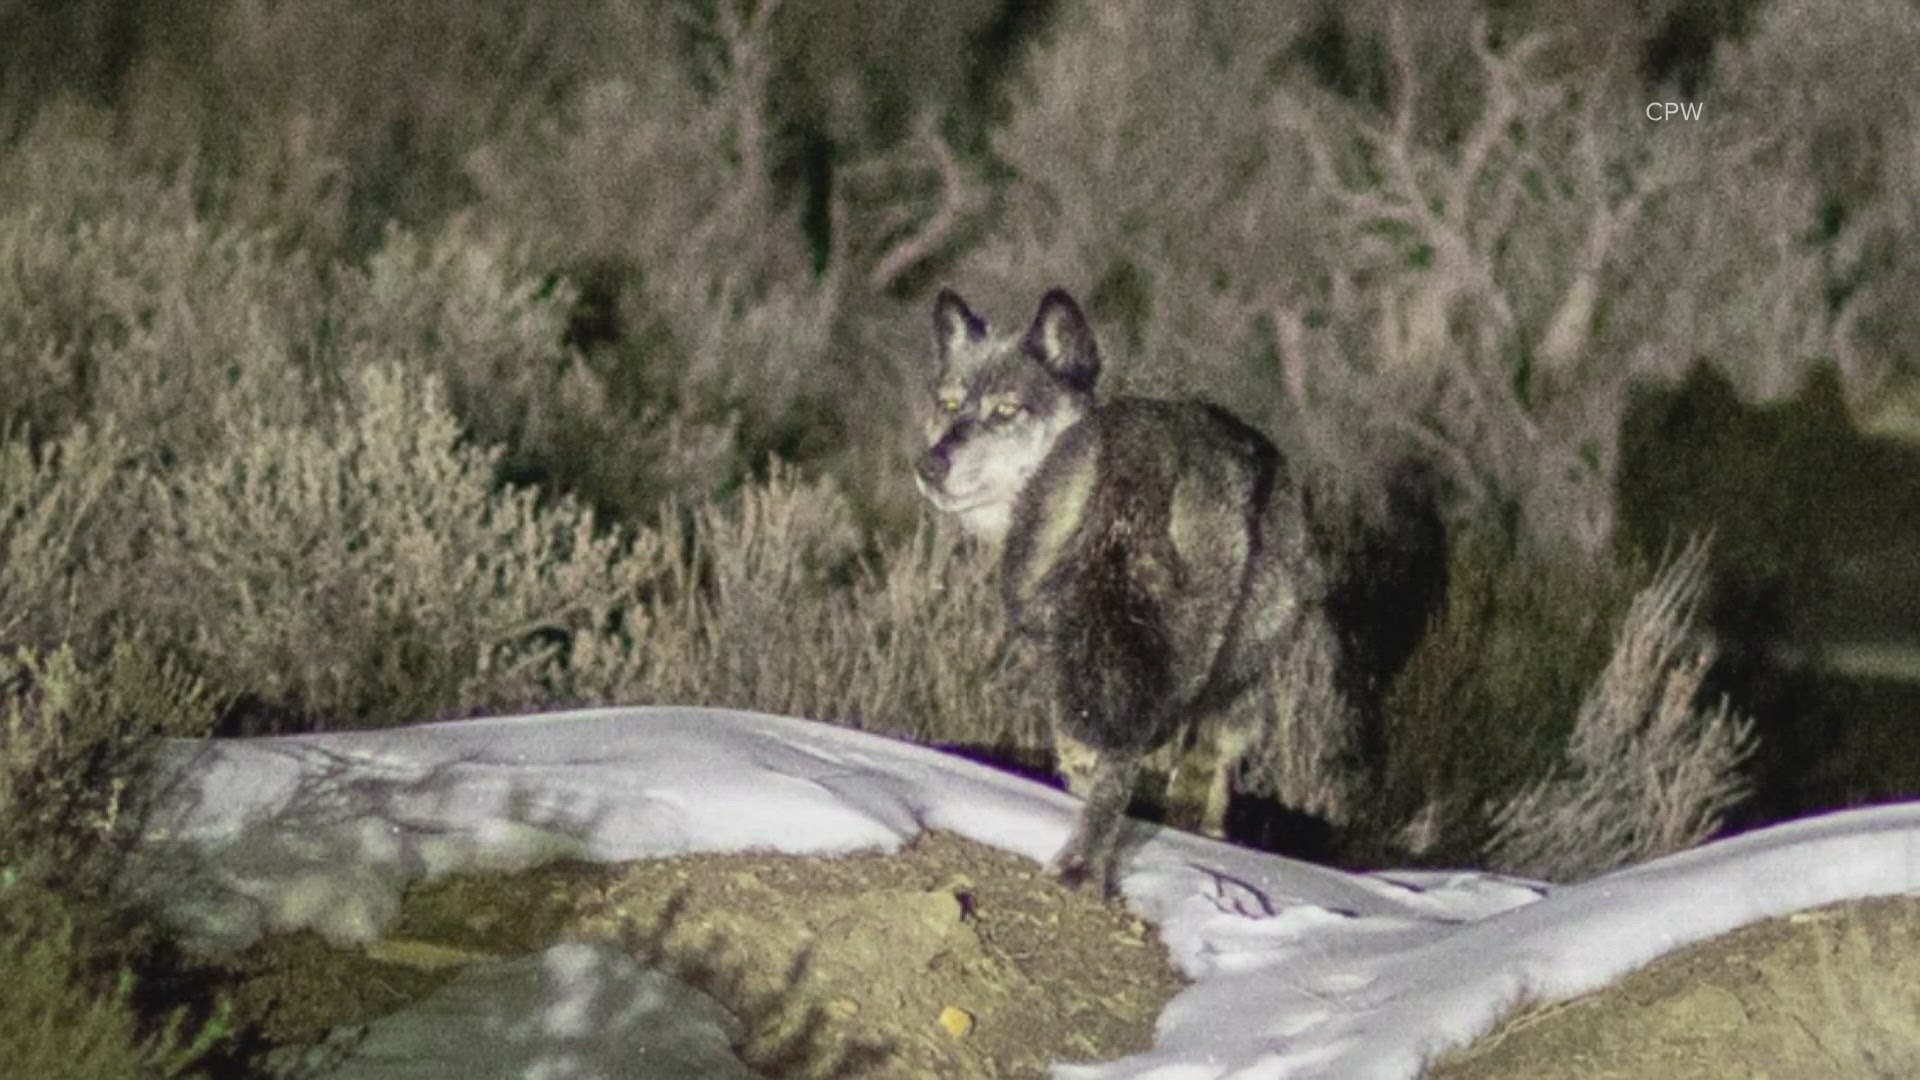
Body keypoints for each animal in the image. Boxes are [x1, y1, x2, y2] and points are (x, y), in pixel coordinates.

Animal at [915, 287, 1437, 894]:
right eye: (949, 403)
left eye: (1005, 410)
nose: (929, 465)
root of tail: (1139, 440)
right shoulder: (1240, 676)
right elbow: (1210, 770)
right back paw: (1094, 860)